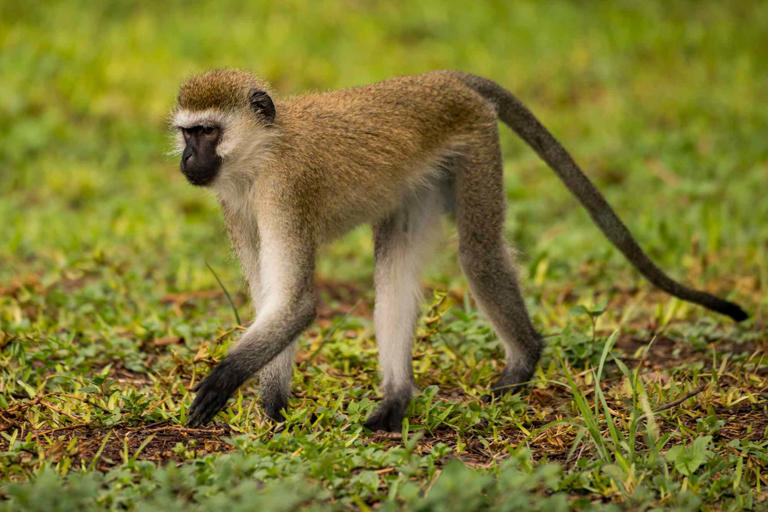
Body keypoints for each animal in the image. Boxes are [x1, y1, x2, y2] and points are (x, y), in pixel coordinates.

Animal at [172, 69, 747, 432]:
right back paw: (396, 401)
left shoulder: (285, 192)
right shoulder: (236, 203)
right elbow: (274, 301)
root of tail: (441, 79)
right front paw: (272, 409)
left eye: (208, 132)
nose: (187, 161)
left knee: (480, 253)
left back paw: (524, 361)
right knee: (396, 272)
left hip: (476, 142)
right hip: (419, 179)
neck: (261, 154)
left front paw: (225, 380)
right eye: (187, 134)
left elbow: (294, 302)